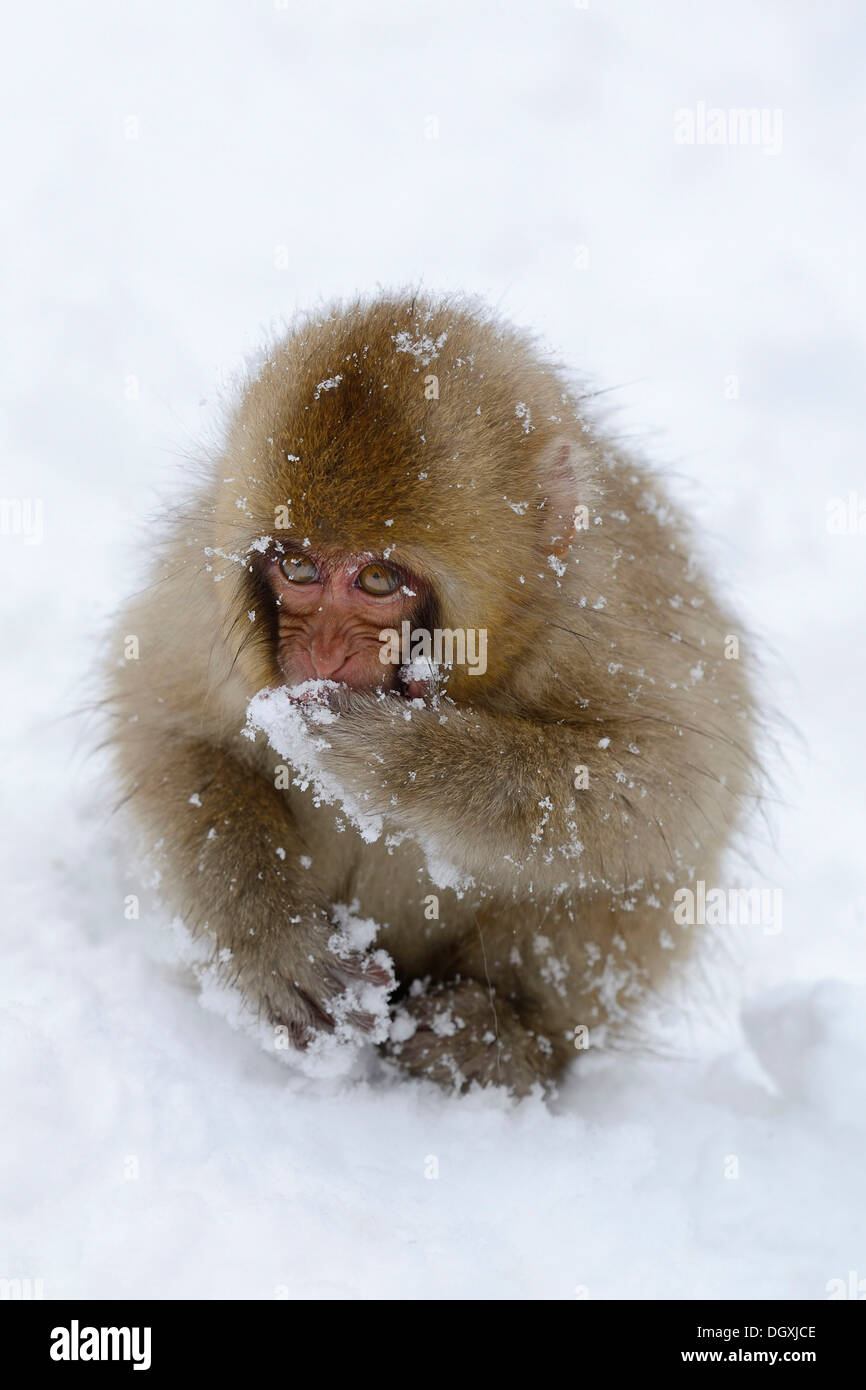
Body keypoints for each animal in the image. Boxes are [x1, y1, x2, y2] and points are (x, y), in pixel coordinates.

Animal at [107, 291, 758, 1096]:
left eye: (378, 579)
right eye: (298, 567)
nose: (320, 653)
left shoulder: (601, 623)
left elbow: (673, 783)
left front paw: (394, 754)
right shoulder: (203, 608)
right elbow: (167, 728)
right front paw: (273, 949)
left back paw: (495, 1031)